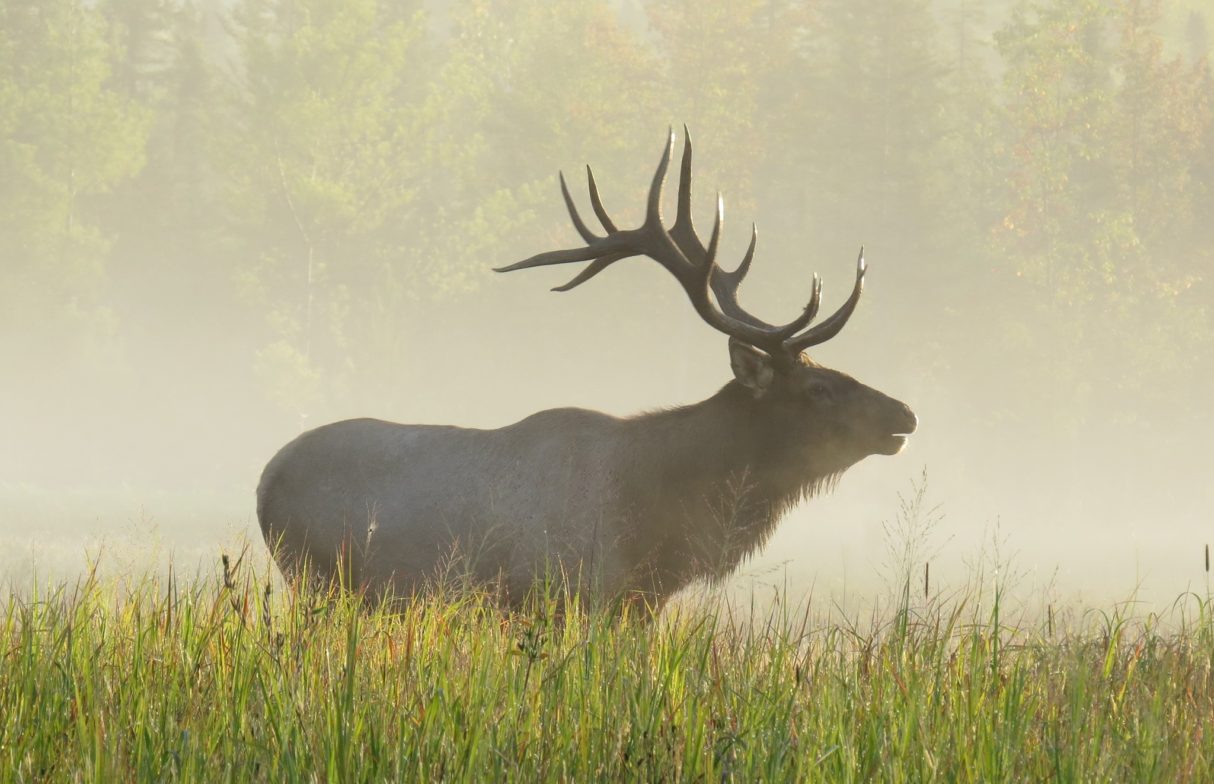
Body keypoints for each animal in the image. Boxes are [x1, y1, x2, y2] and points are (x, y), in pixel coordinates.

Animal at [256, 130, 917, 613]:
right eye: (818, 388)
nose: (906, 413)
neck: (659, 521)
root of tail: (264, 482)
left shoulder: (637, 607)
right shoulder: (562, 595)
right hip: (317, 580)